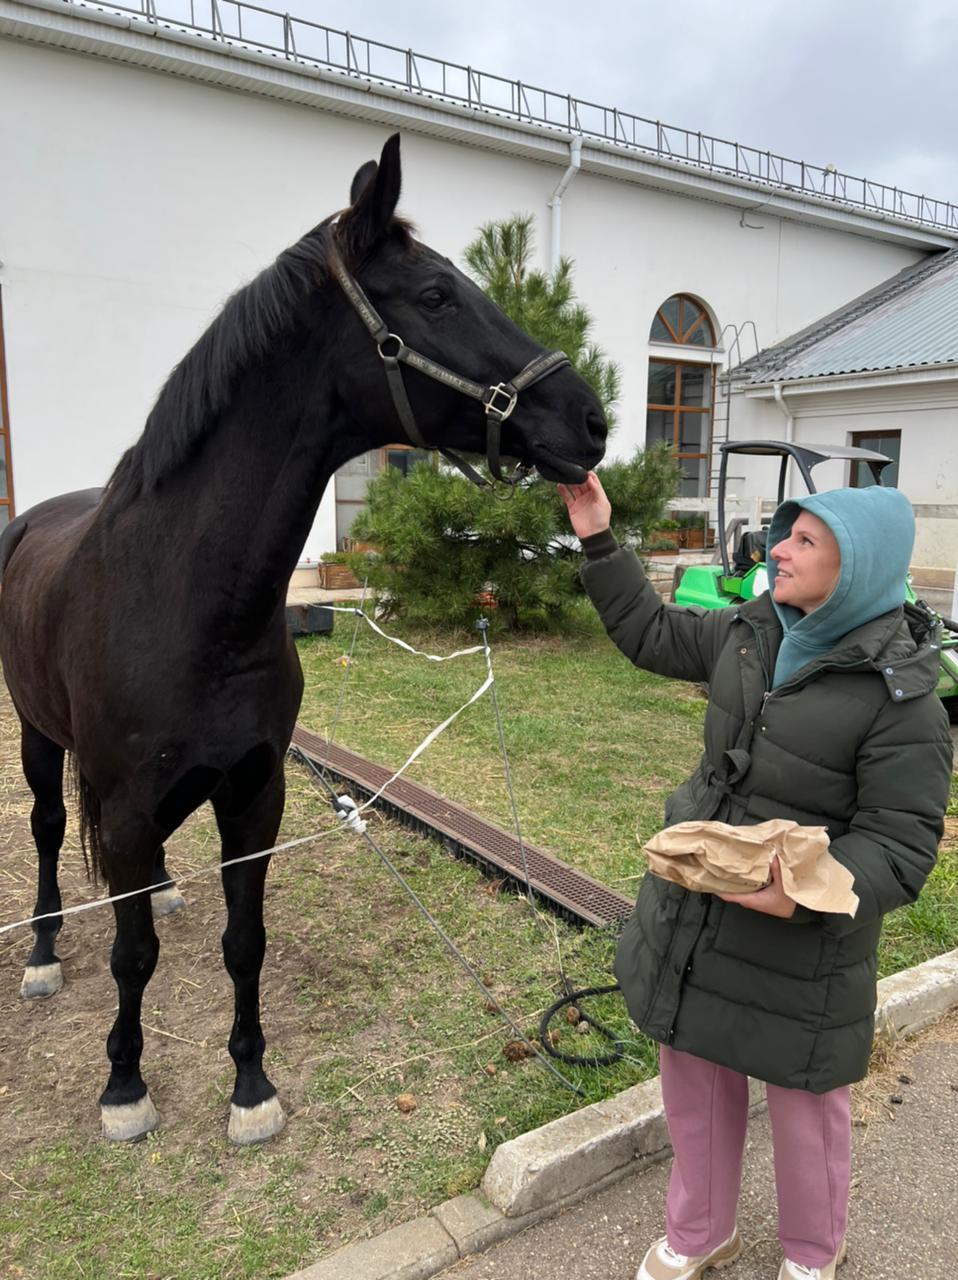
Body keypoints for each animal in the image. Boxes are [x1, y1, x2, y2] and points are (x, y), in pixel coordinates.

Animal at [0, 137, 607, 1141]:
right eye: (436, 295)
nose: (590, 420)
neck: (191, 609)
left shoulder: (256, 794)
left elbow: (244, 942)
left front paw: (251, 1084)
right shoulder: (122, 805)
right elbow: (133, 956)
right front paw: (124, 1086)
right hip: (37, 738)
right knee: (51, 833)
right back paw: (44, 950)